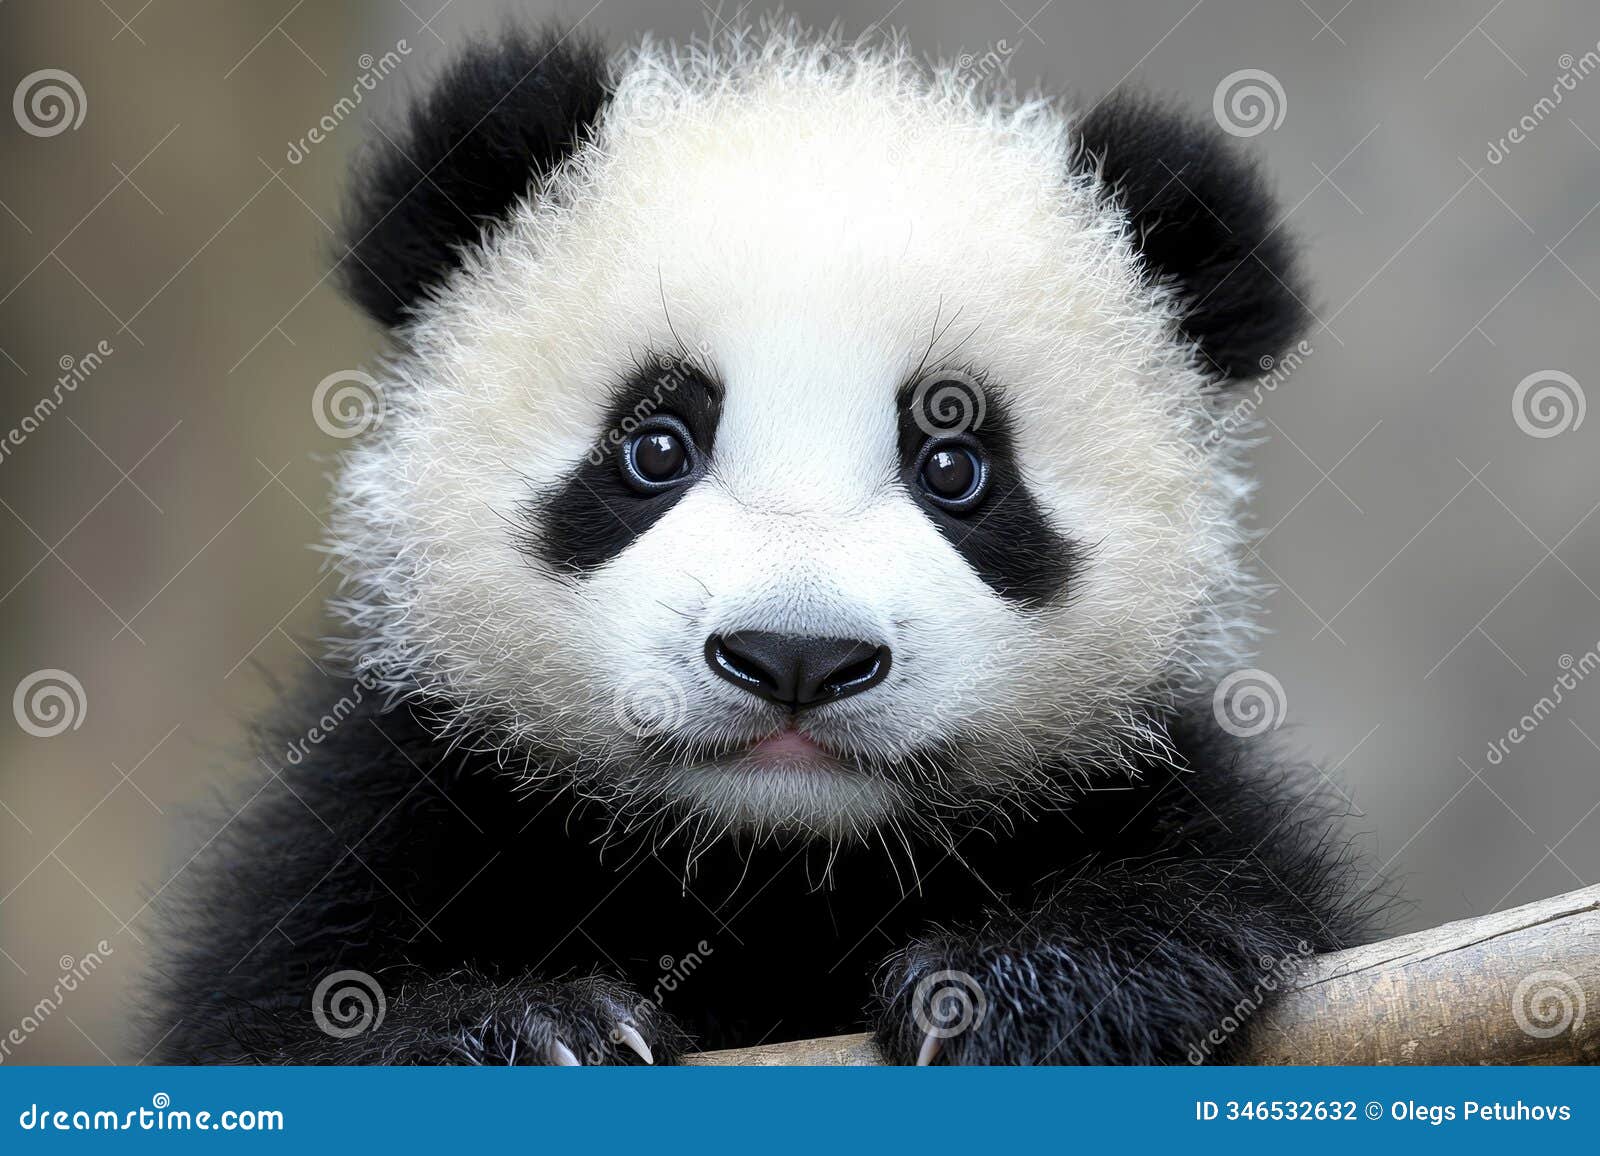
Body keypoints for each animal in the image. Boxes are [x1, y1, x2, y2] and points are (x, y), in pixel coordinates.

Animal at [149, 22, 1372, 1066]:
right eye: (655, 446)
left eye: (955, 466)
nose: (796, 656)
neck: (768, 866)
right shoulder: (387, 809)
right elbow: (287, 1016)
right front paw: (520, 1030)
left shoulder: (1175, 795)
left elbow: (1221, 904)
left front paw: (1036, 982)